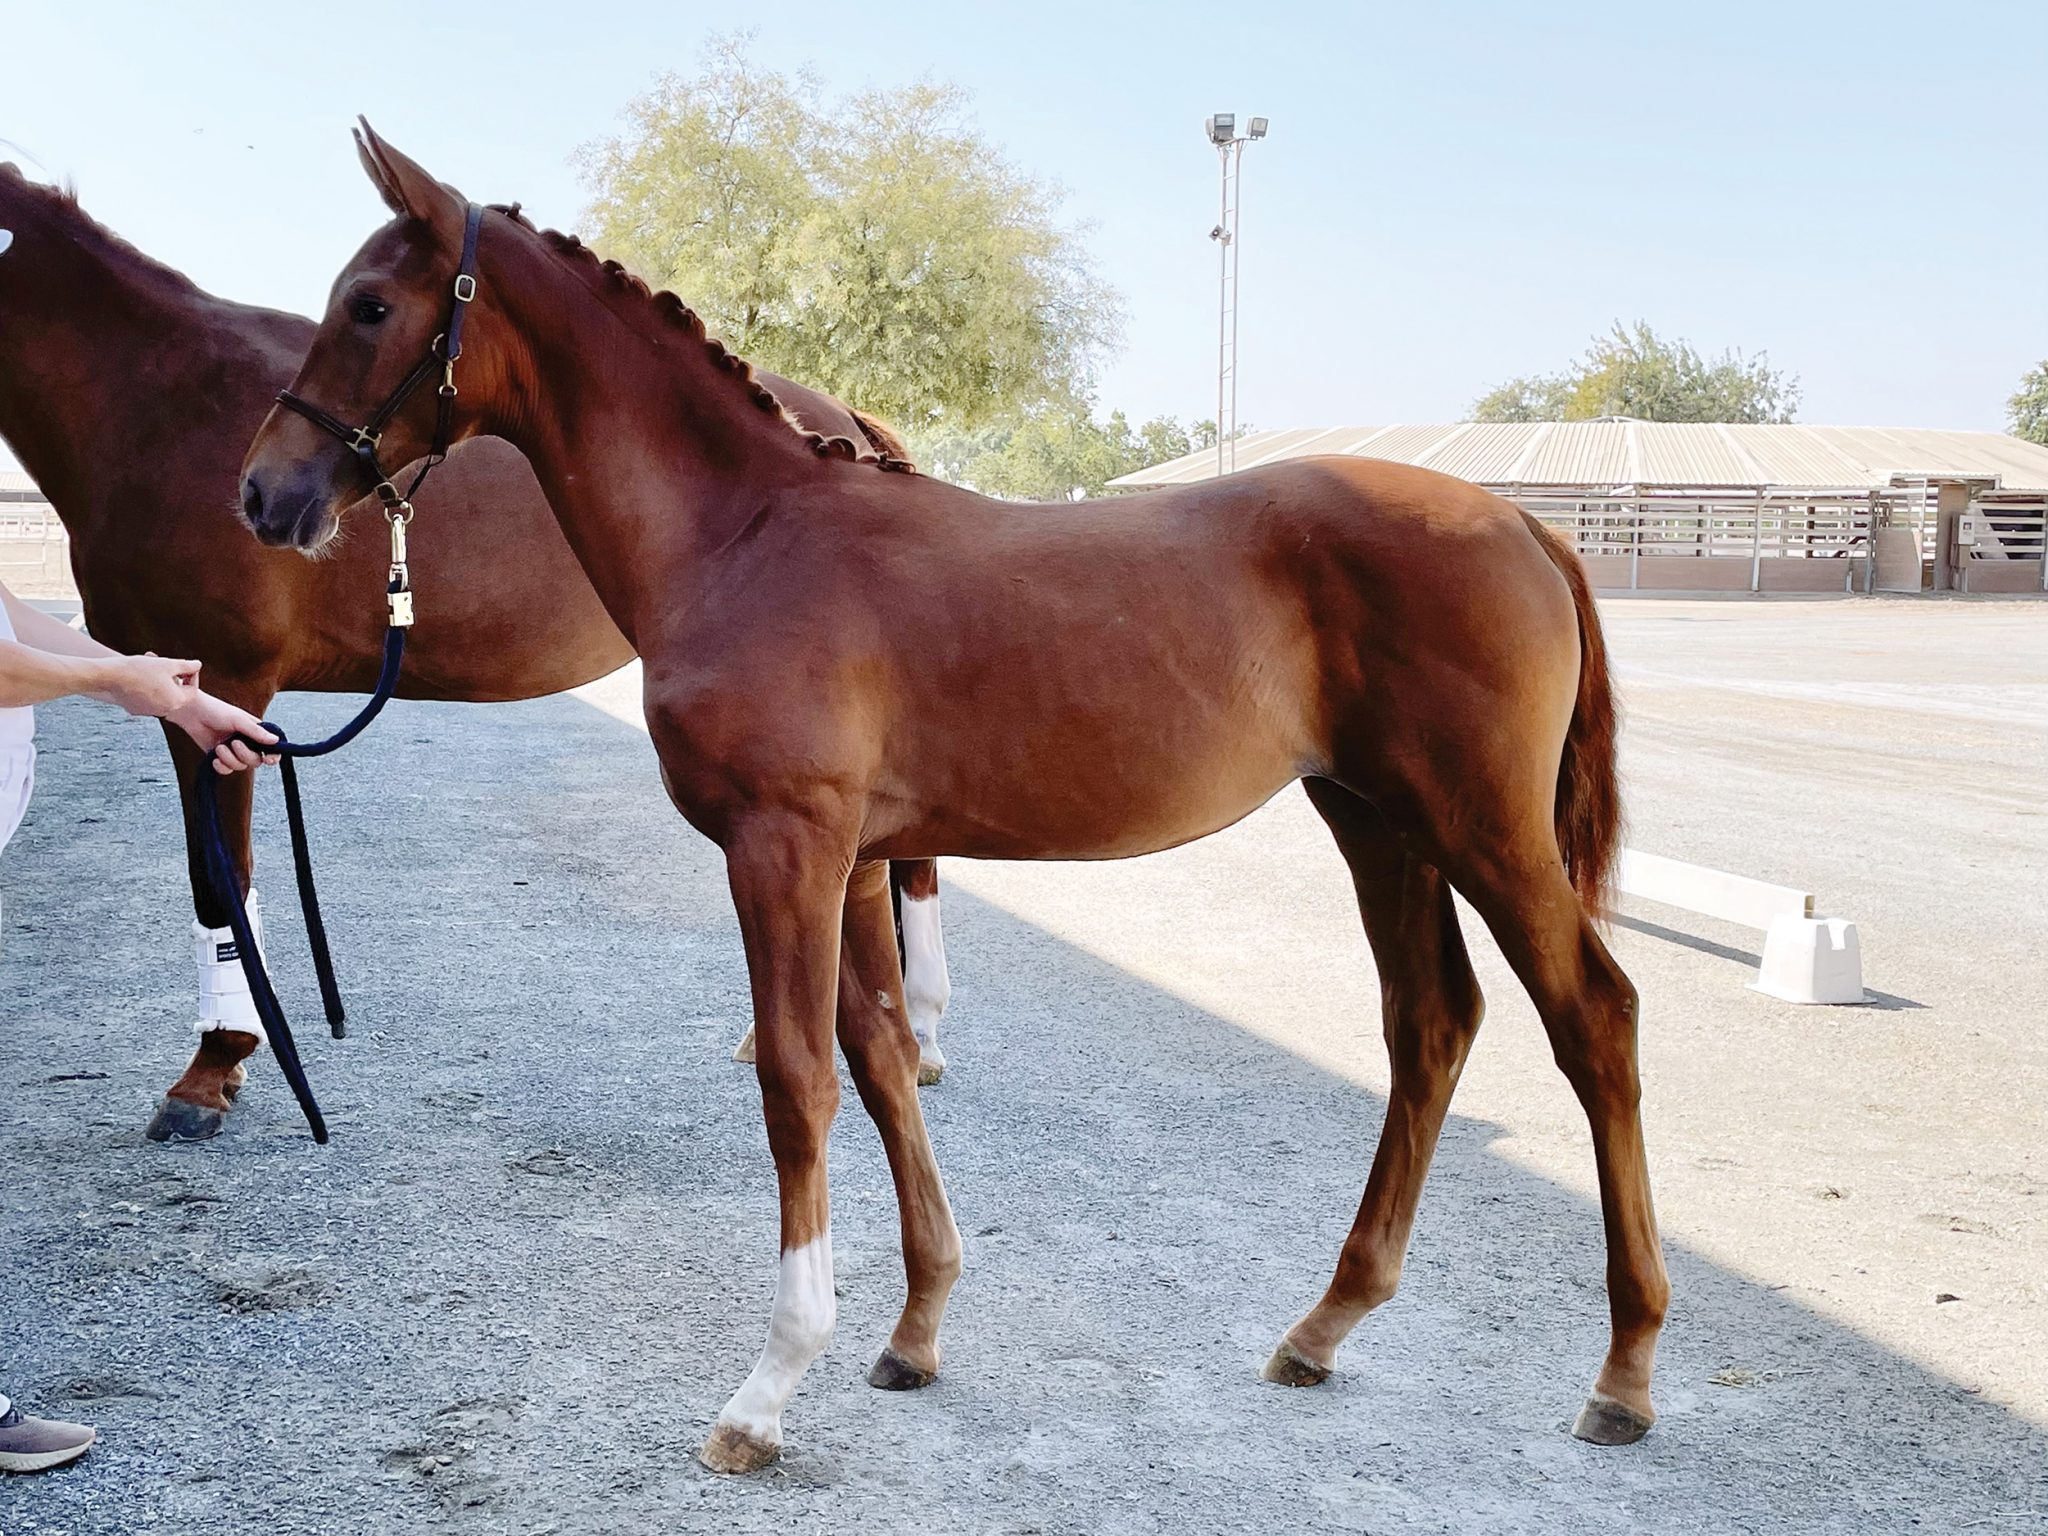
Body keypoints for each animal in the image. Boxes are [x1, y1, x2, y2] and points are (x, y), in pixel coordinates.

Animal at [0, 163, 951, 1144]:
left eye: (370, 308)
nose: (261, 496)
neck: (160, 399)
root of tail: (847, 424)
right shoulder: (191, 692)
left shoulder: (226, 685)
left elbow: (219, 885)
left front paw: (210, 1071)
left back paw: (921, 1035)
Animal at [241, 124, 1667, 1475]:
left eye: (369, 304)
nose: (266, 493)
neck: (748, 535)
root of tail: (1523, 525)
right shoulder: (863, 860)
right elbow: (880, 1065)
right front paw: (915, 1330)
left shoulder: (784, 849)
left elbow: (798, 1083)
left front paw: (766, 1392)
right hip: (1375, 820)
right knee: (1429, 1023)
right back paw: (1324, 1327)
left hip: (1482, 830)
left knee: (1592, 1019)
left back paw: (1623, 1372)